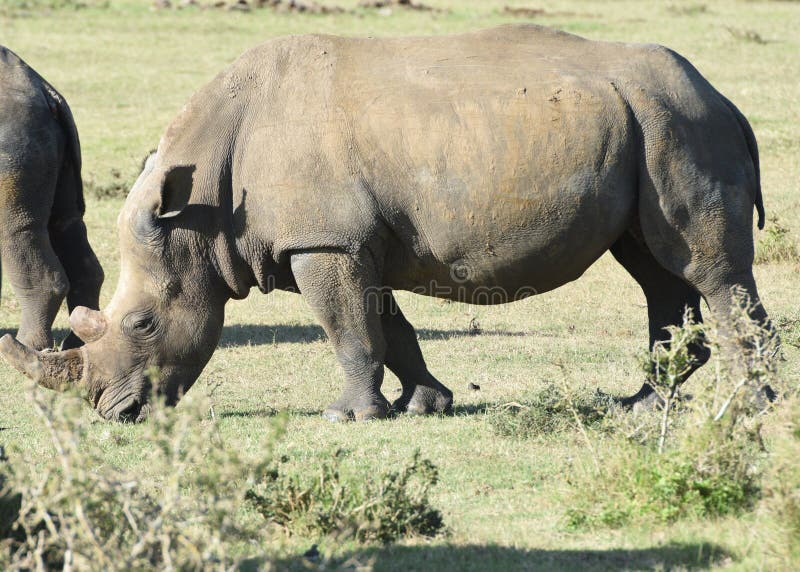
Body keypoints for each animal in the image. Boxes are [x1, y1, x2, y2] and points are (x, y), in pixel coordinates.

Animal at [0, 47, 104, 351]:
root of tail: (45, 90)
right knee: (66, 221)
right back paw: (77, 344)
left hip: (14, 135)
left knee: (15, 229)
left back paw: (23, 346)